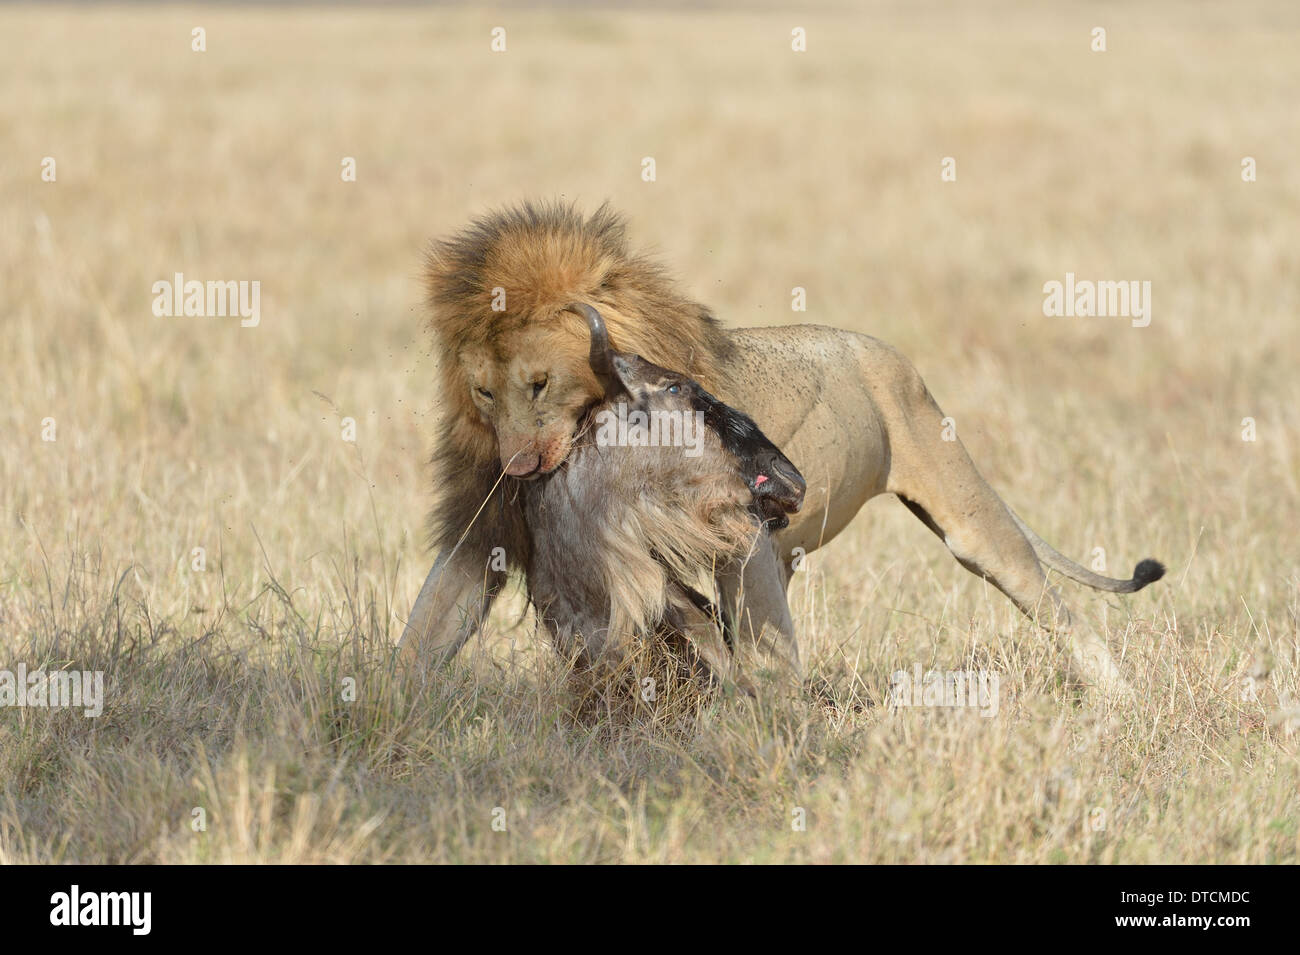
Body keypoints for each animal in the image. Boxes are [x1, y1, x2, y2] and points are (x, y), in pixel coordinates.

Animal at [399, 200, 1164, 694]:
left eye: (537, 383)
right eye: (484, 393)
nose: (518, 463)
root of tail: (887, 352)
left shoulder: (741, 538)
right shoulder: (495, 529)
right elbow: (428, 629)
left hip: (963, 513)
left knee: (1048, 598)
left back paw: (1119, 697)